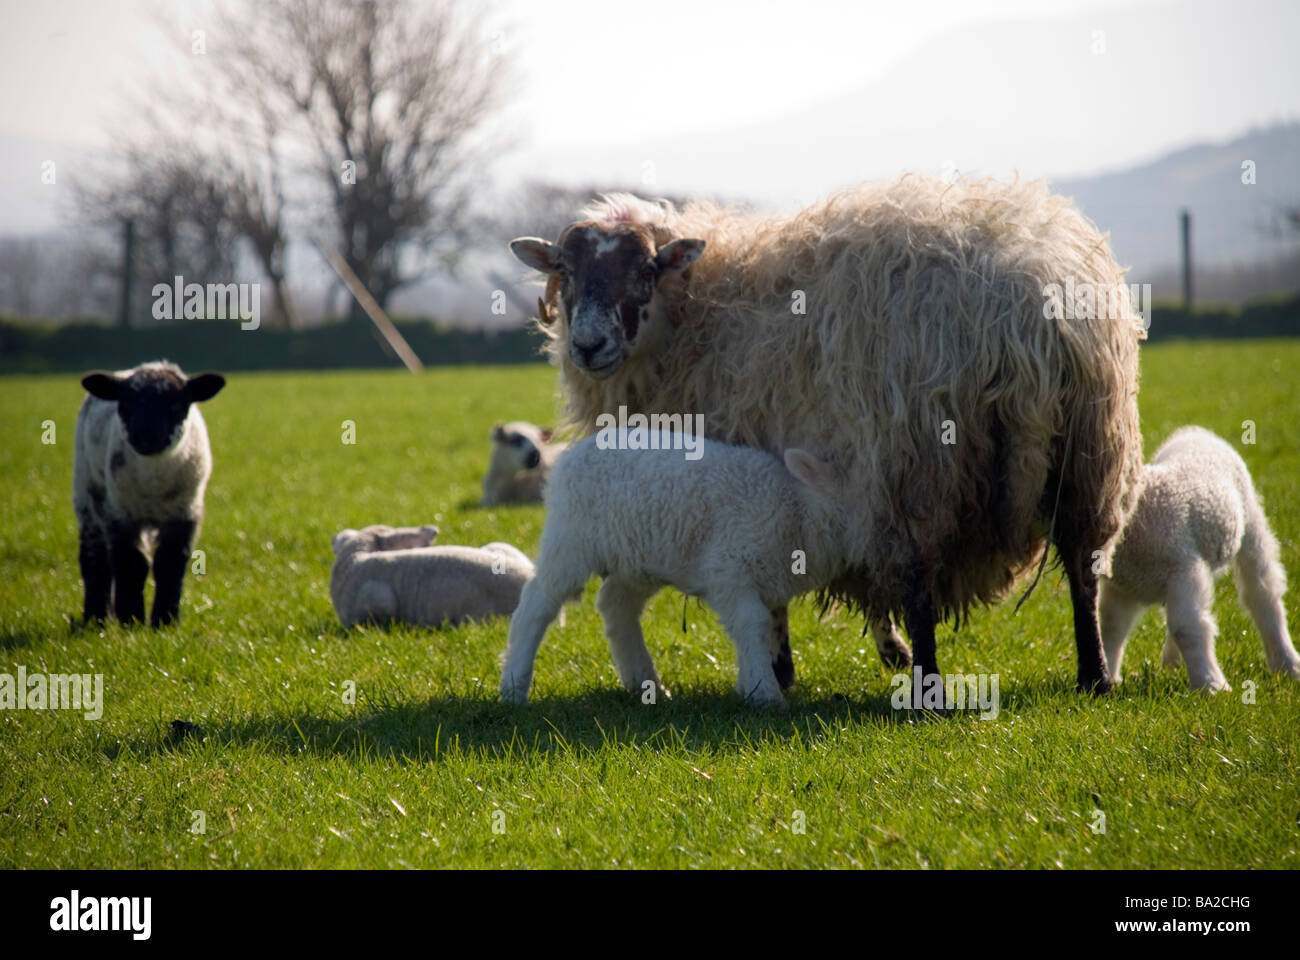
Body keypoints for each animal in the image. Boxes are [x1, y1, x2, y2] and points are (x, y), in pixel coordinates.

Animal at [74, 361, 226, 626]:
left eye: (176, 404)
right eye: (126, 402)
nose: (145, 435)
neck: (153, 481)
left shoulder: (185, 513)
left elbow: (170, 562)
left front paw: (165, 621)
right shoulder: (119, 515)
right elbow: (131, 563)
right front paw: (130, 619)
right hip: (87, 493)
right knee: (95, 560)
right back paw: (95, 618)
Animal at [499, 431, 847, 708]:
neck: (796, 508)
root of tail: (573, 451)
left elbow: (753, 630)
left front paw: (751, 683)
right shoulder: (729, 570)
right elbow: (753, 624)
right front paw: (765, 694)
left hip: (635, 558)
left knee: (616, 606)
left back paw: (644, 682)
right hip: (570, 539)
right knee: (536, 605)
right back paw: (514, 688)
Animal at [1100, 426, 1300, 692]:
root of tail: (1196, 431)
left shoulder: (1184, 567)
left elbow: (1186, 628)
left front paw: (1210, 684)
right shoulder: (1123, 586)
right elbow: (1111, 628)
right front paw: (1107, 679)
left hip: (1251, 523)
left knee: (1263, 593)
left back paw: (1287, 663)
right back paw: (1172, 661)